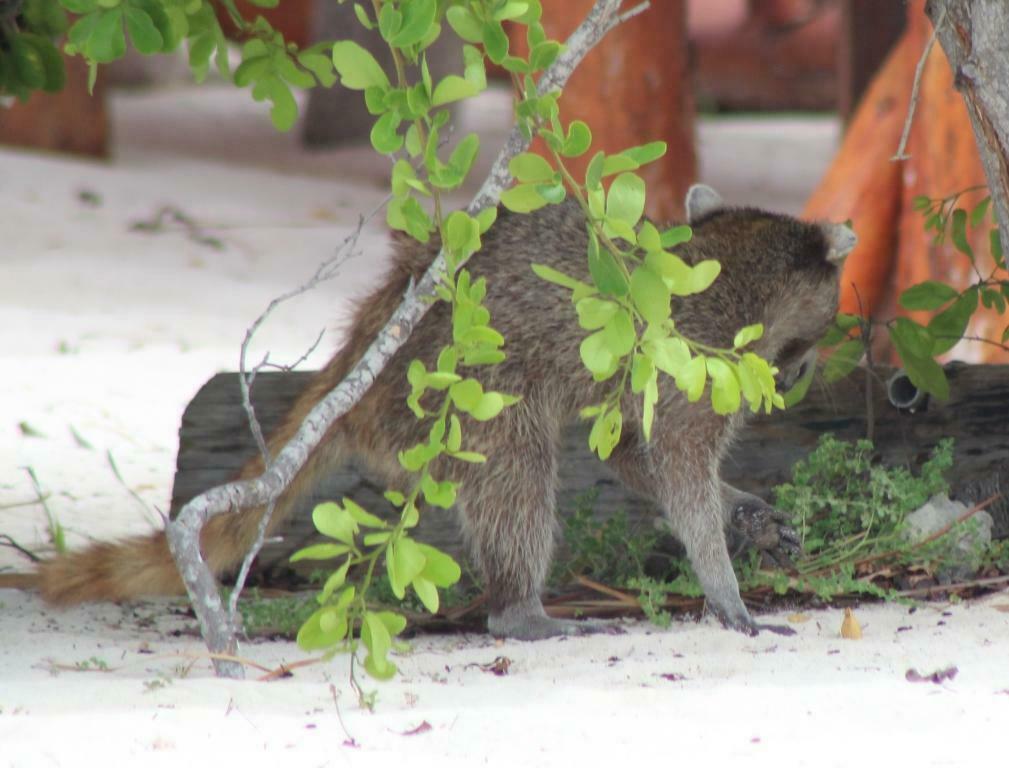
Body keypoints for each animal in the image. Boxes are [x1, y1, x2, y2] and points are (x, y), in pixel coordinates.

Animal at [33, 184, 854, 640]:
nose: (800, 376)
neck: (730, 254)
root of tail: (362, 346)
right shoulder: (699, 357)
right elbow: (677, 469)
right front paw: (721, 577)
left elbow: (632, 451)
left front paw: (739, 508)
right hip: (450, 395)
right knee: (518, 469)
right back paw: (518, 607)